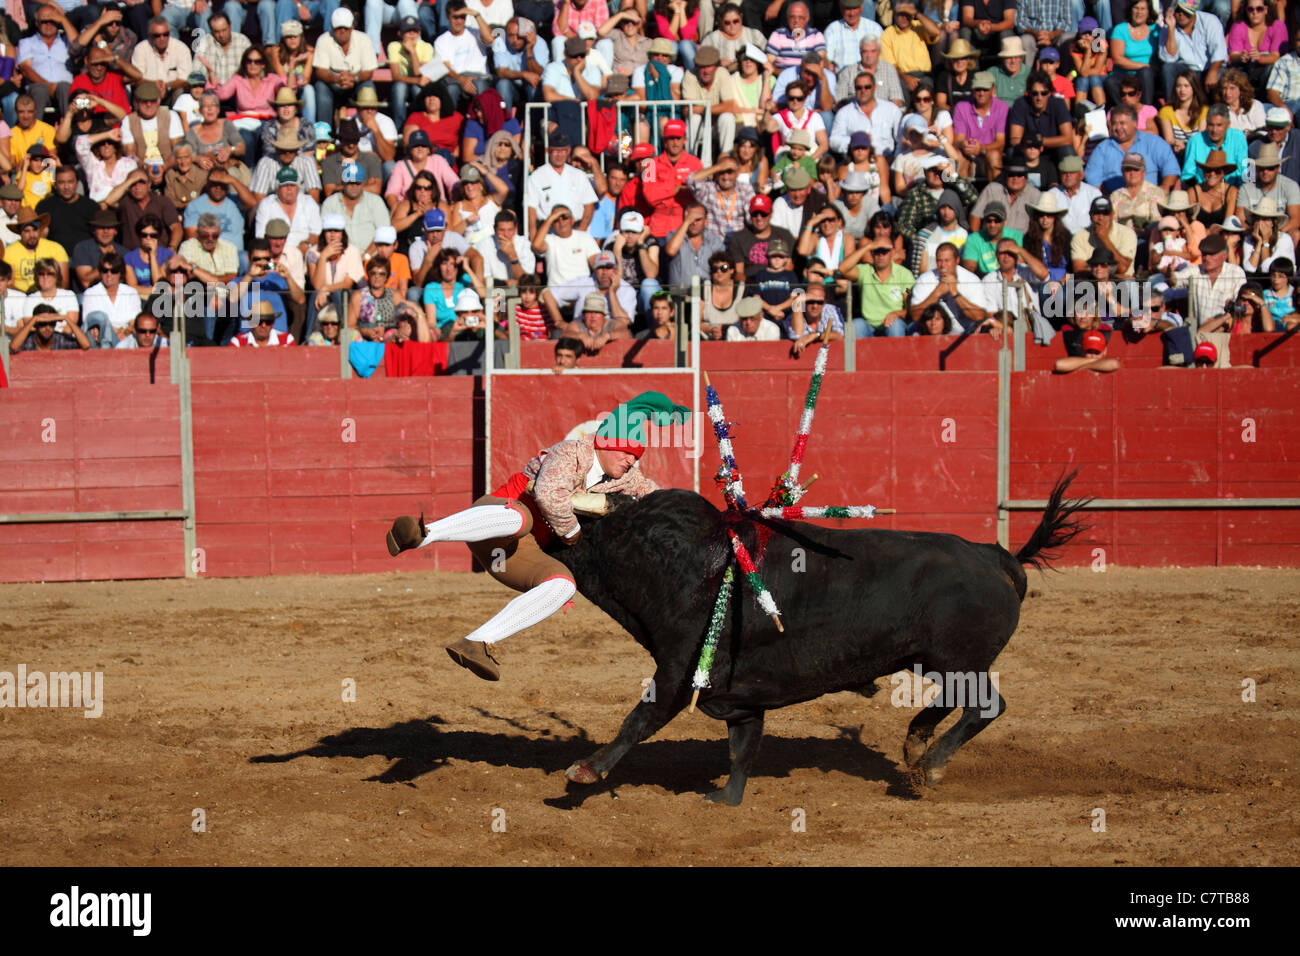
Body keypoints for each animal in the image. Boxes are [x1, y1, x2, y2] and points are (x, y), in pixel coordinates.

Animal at [551, 474, 1087, 805]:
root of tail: (992, 555)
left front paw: (585, 771)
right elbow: (742, 747)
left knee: (986, 706)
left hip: (959, 660)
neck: (680, 560)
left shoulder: (679, 672)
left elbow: (640, 719)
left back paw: (931, 766)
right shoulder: (740, 698)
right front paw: (725, 798)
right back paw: (915, 746)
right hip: (933, 660)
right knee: (954, 702)